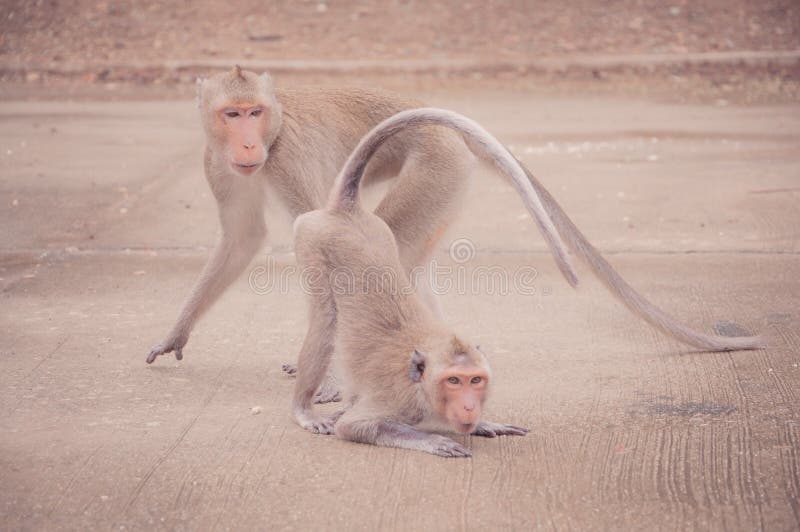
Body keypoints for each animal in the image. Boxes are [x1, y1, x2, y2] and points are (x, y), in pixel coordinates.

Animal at [146, 66, 763, 370]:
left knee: (388, 249)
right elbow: (243, 237)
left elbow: (326, 238)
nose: (249, 143)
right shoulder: (216, 162)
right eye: (232, 114)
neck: (269, 137)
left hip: (438, 168)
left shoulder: (287, 159)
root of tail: (443, 122)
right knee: (408, 262)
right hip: (447, 185)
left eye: (255, 112)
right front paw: (177, 331)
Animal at [290, 107, 763, 456]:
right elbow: (357, 426)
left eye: (476, 380)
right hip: (311, 242)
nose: (469, 405)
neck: (424, 385)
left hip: (380, 234)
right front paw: (431, 440)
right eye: (454, 381)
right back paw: (304, 408)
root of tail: (346, 210)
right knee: (326, 321)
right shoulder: (397, 402)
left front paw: (484, 422)